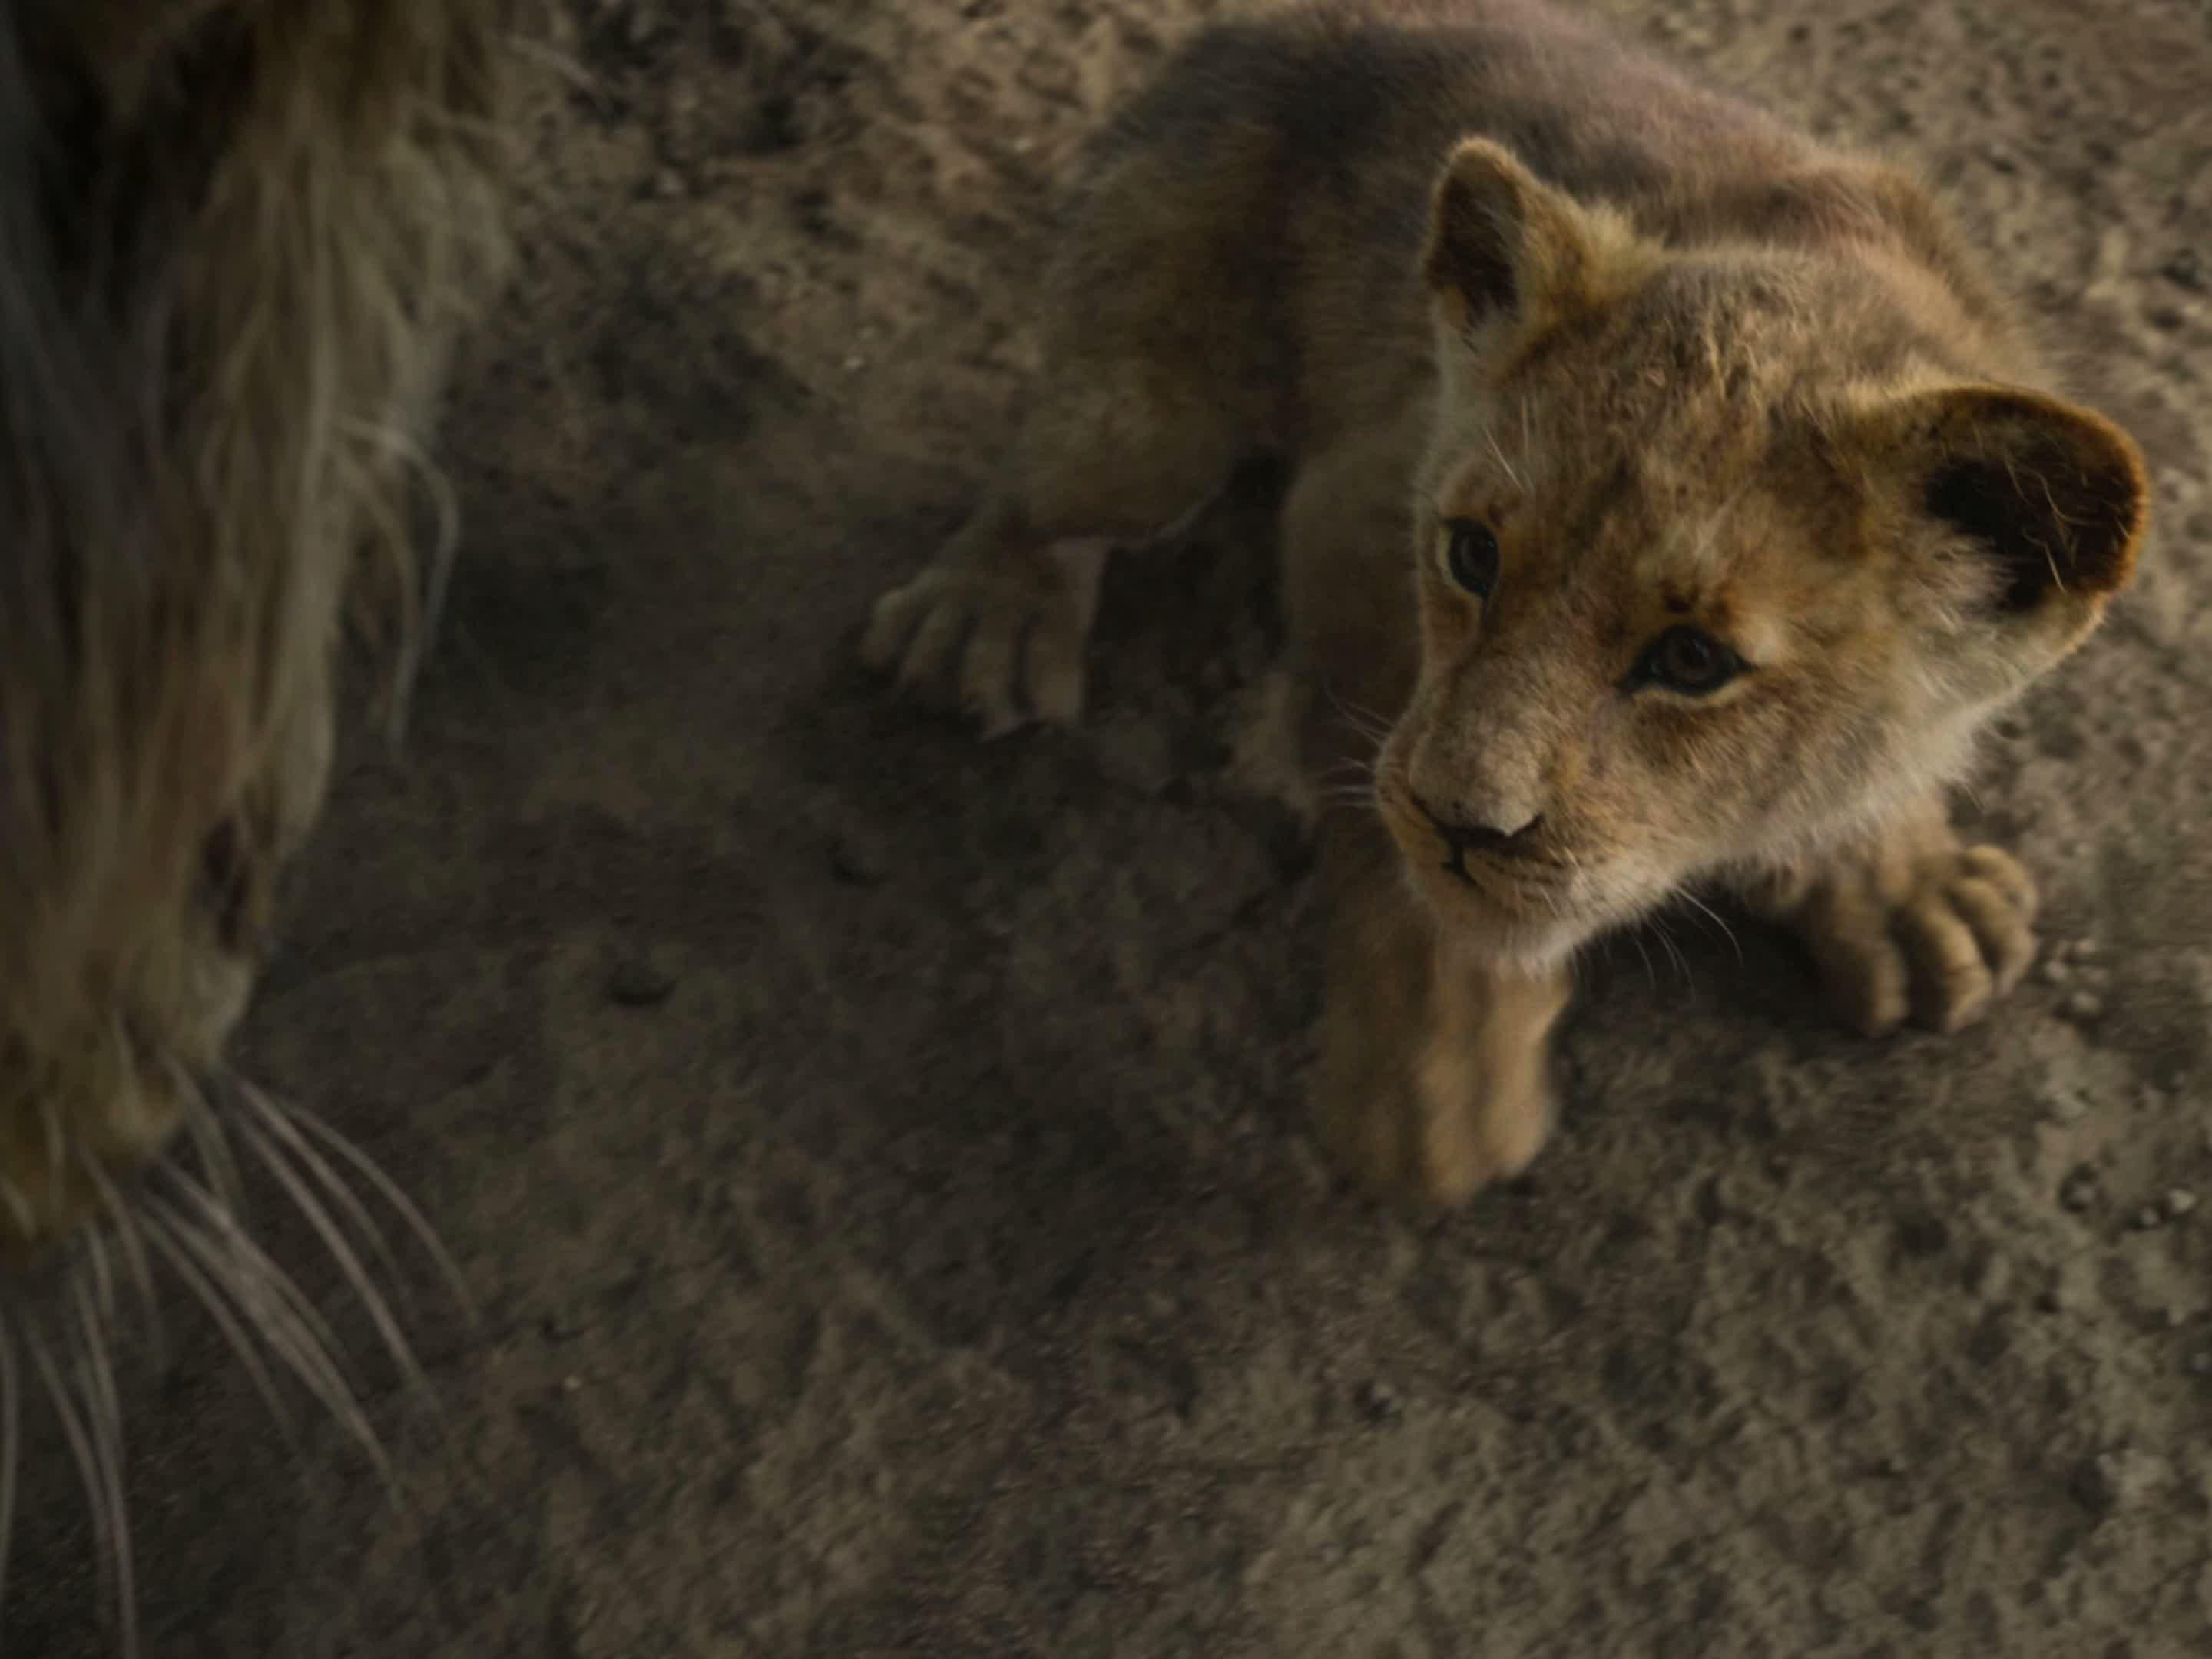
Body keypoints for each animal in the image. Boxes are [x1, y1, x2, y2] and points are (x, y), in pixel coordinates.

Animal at [863, 0, 2148, 1205]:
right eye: (1474, 557)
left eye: (1694, 661)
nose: (1464, 824)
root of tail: (1263, 21)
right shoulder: (1351, 511)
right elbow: (1411, 879)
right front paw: (1437, 1090)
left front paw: (1904, 890)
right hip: (1147, 425)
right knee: (1050, 470)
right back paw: (982, 623)